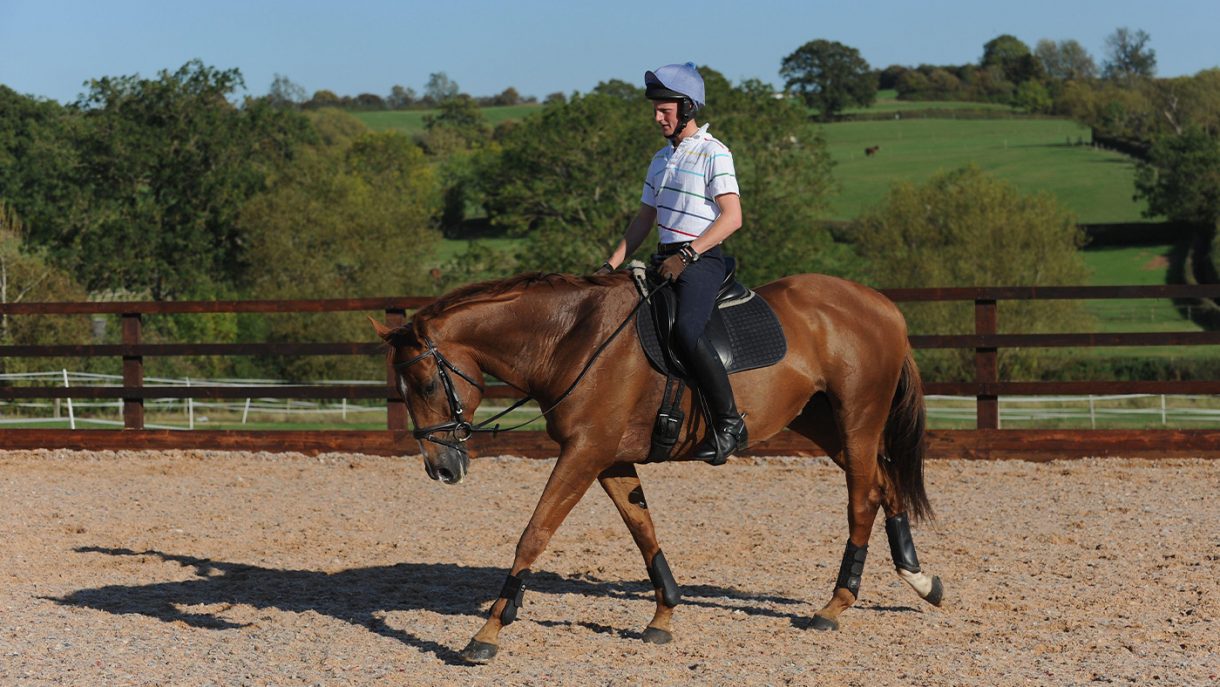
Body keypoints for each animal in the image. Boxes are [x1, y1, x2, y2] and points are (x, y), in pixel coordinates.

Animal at [372, 270, 944, 663]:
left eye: (426, 383)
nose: (441, 469)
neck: (571, 339)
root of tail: (881, 304)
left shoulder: (584, 452)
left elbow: (534, 533)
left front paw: (487, 632)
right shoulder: (610, 458)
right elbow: (642, 529)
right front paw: (664, 615)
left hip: (857, 419)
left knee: (862, 499)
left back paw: (835, 606)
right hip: (824, 423)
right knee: (886, 485)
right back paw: (920, 580)